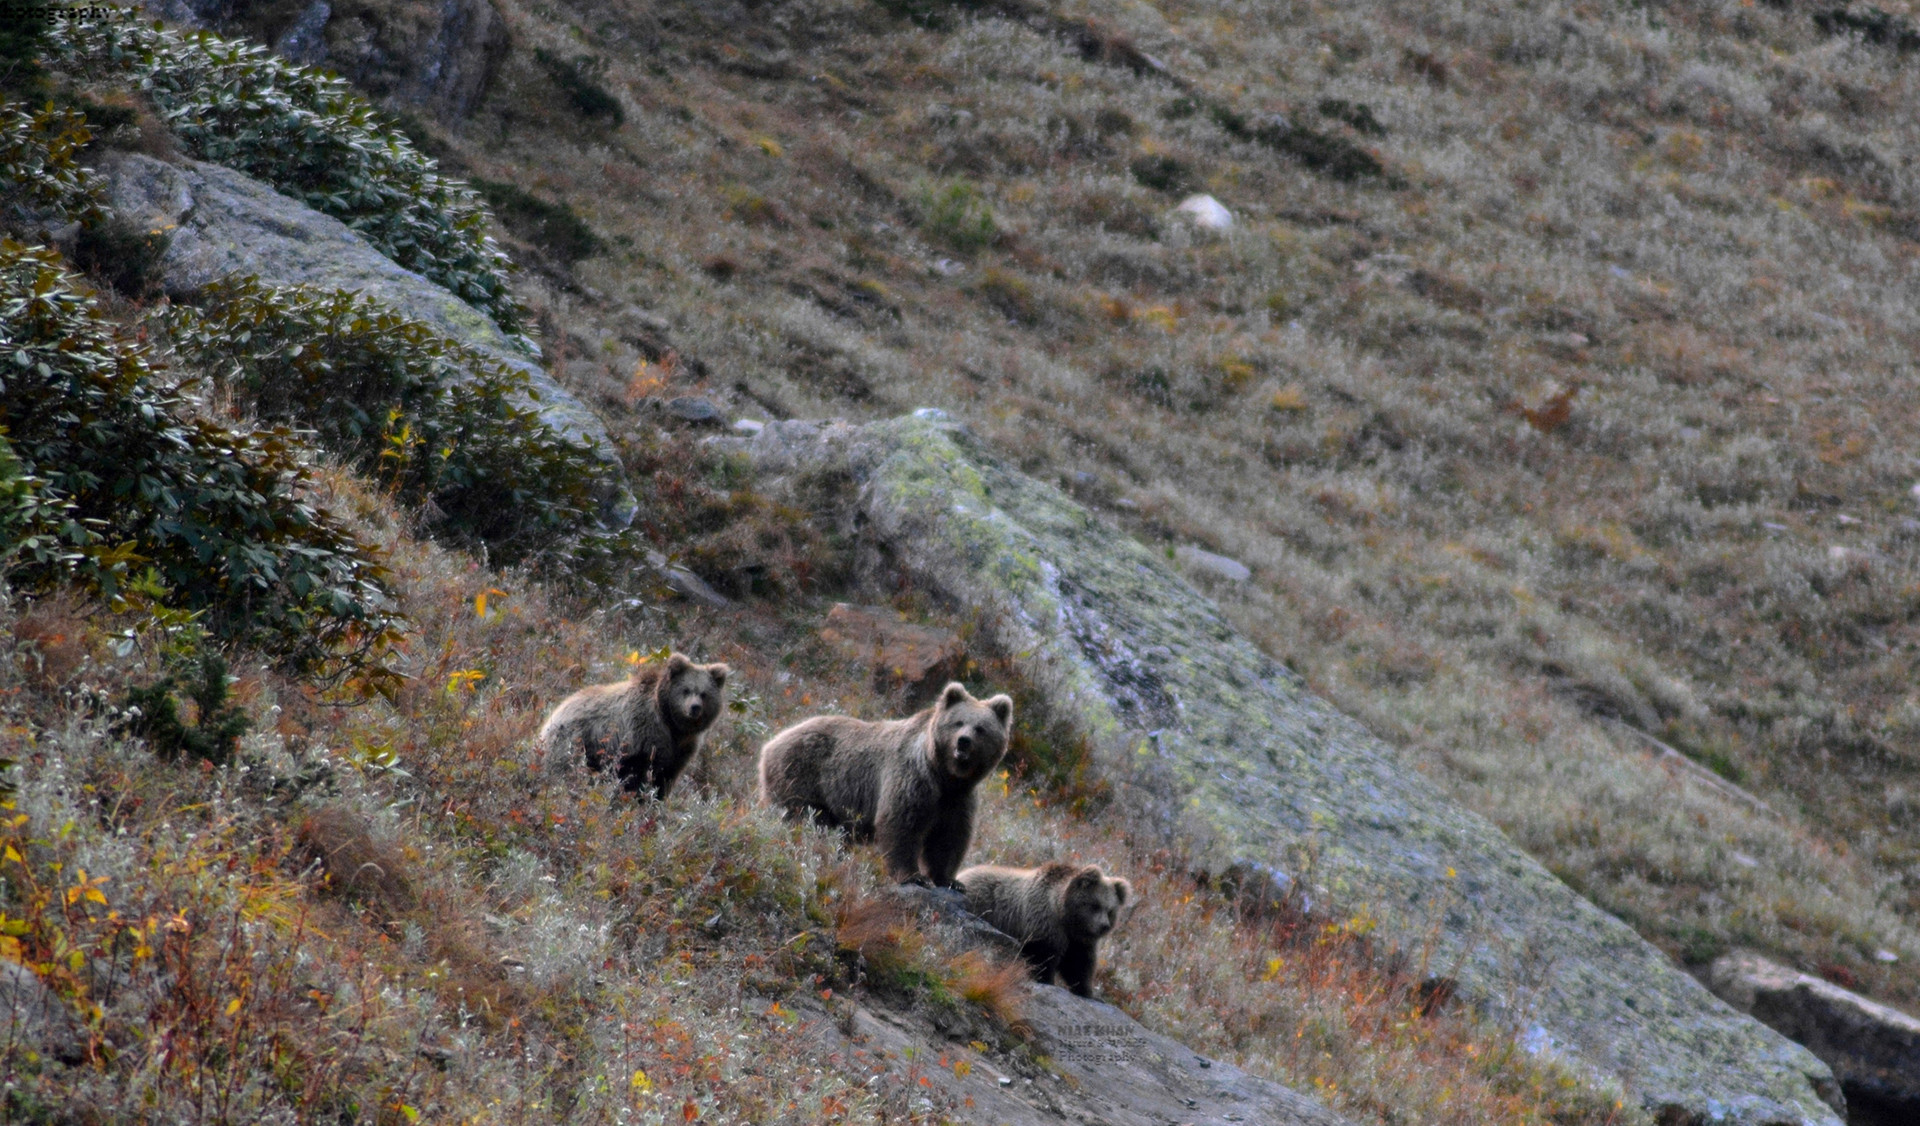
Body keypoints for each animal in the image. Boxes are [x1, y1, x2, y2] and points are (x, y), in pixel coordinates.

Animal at [537, 653, 729, 800]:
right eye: (686, 690)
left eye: (704, 694)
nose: (694, 708)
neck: (671, 724)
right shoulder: (642, 736)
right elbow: (636, 776)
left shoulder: (681, 751)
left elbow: (664, 778)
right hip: (576, 742)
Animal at [756, 682, 1012, 886]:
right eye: (958, 722)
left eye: (980, 728)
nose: (963, 742)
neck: (945, 775)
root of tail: (771, 743)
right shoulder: (913, 778)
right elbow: (901, 823)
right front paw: (913, 876)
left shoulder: (958, 799)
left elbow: (948, 837)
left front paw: (950, 880)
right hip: (801, 776)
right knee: (802, 817)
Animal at [955, 862, 1132, 998]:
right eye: (1095, 905)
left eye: (1110, 911)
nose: (1104, 925)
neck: (1065, 916)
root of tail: (962, 873)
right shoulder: (1042, 920)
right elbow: (1043, 954)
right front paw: (1045, 979)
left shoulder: (1078, 940)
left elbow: (1078, 963)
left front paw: (1086, 991)